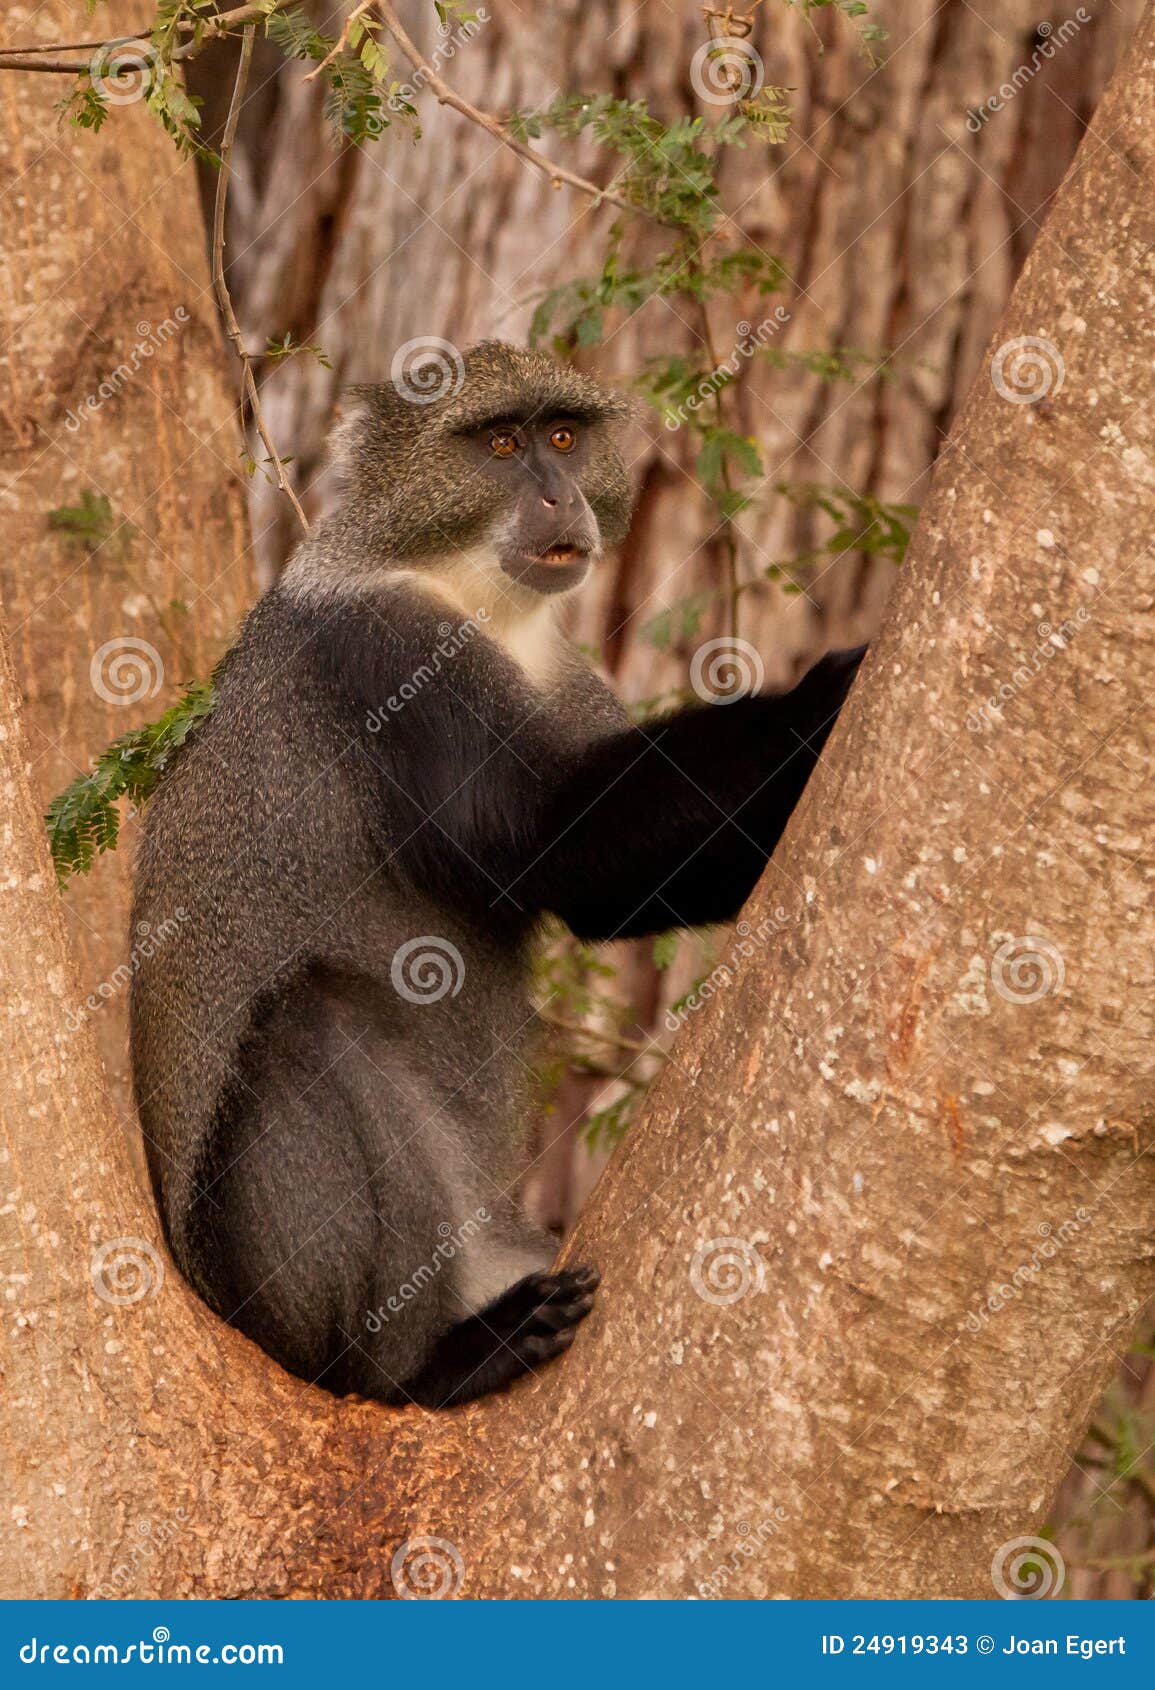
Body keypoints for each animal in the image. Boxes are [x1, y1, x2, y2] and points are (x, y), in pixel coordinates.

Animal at [129, 340, 864, 1411]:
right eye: (500, 445)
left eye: (561, 435)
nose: (559, 495)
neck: (471, 593)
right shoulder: (389, 647)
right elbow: (540, 836)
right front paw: (826, 692)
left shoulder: (564, 679)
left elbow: (602, 890)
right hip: (267, 1298)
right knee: (308, 1024)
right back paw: (421, 1366)